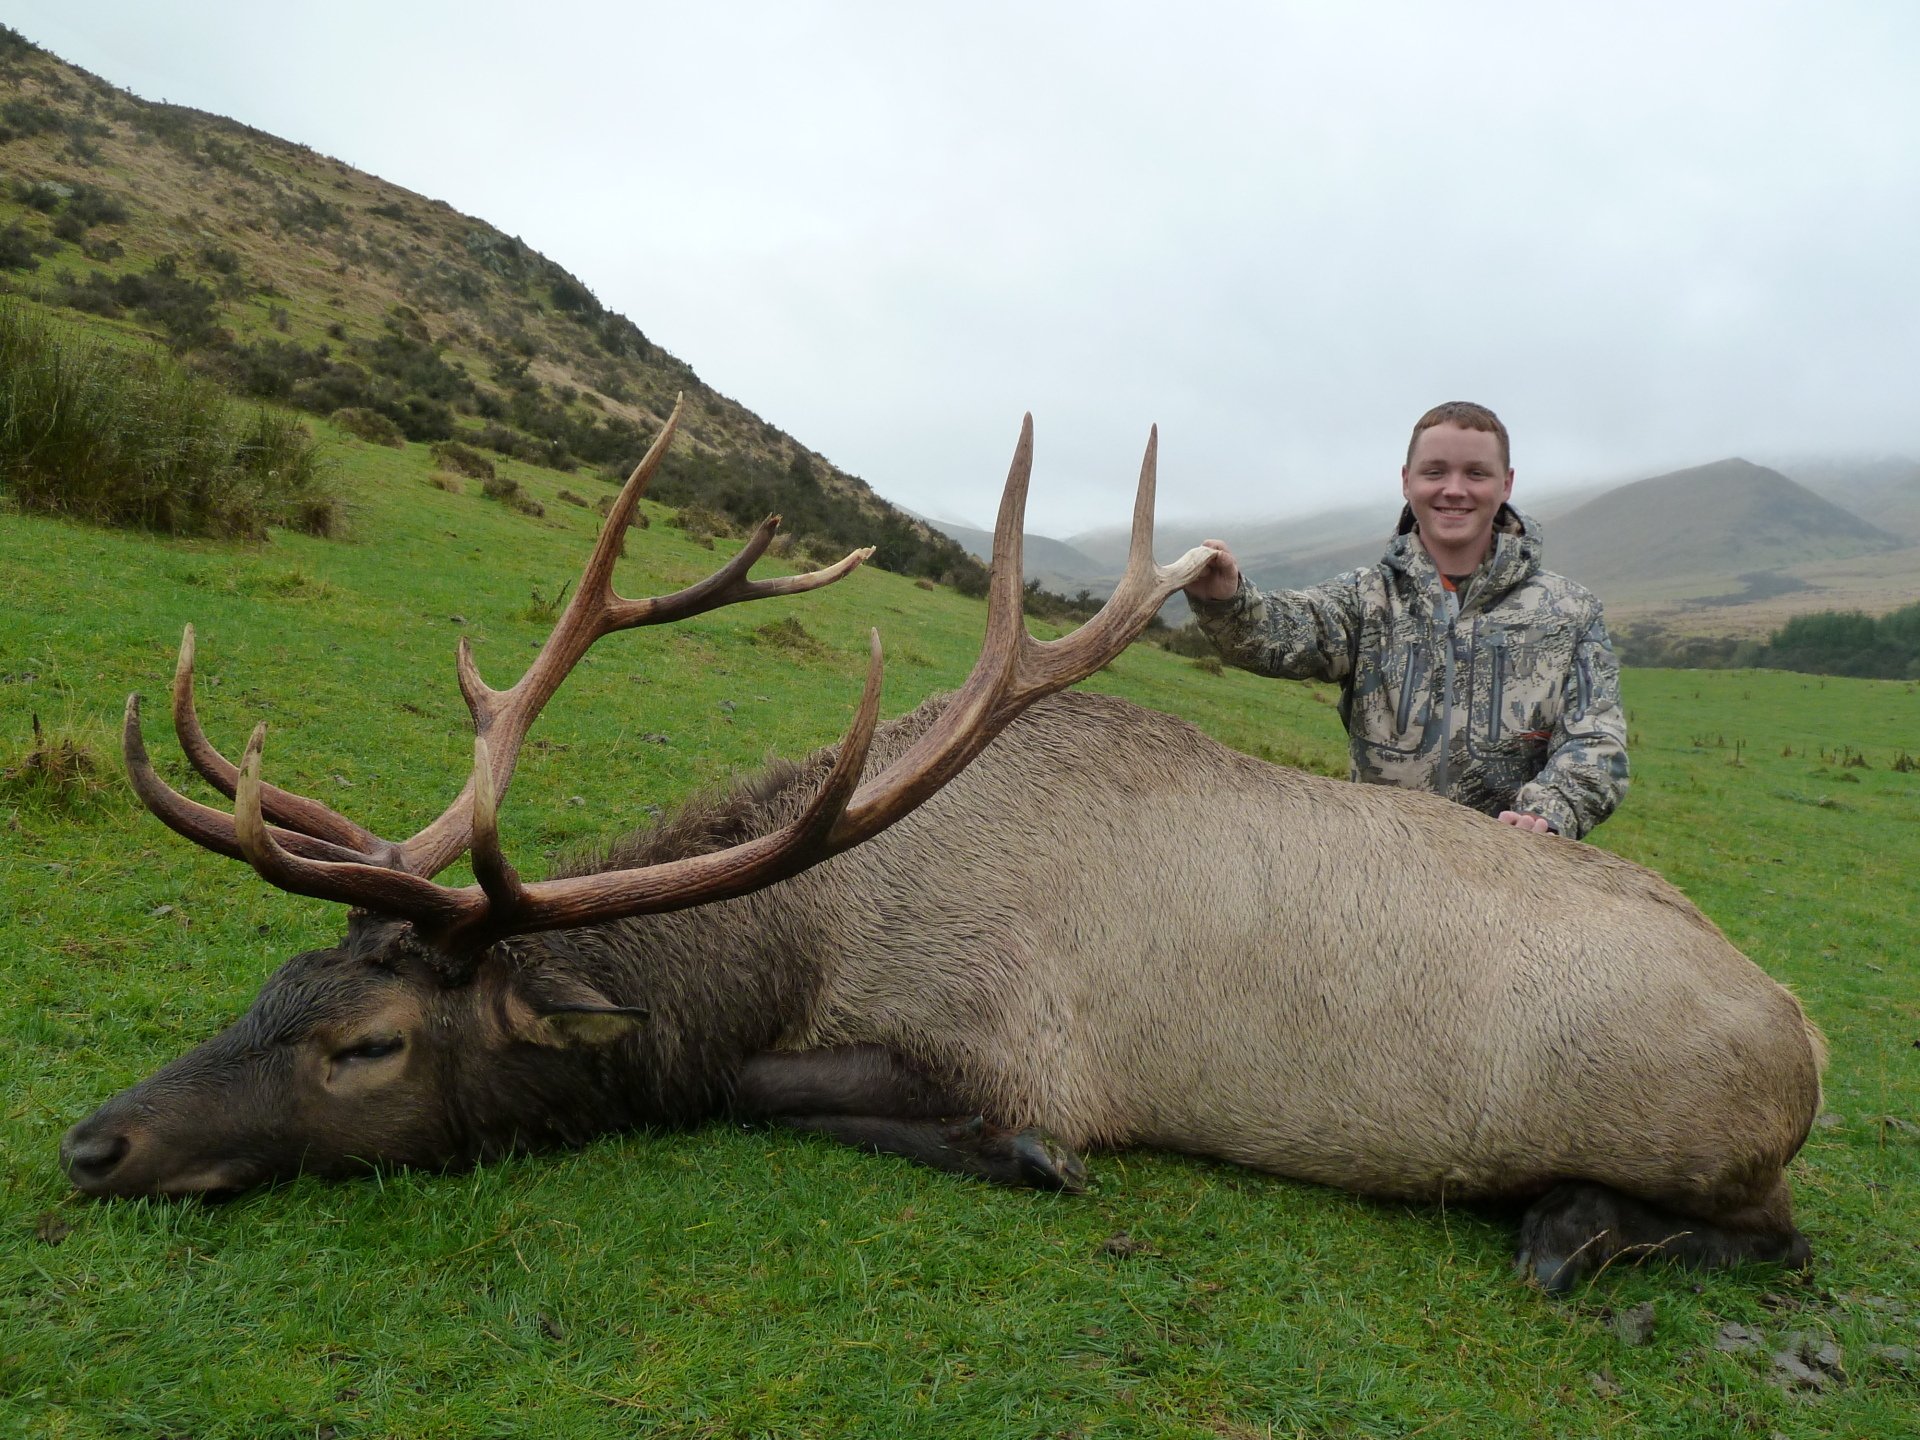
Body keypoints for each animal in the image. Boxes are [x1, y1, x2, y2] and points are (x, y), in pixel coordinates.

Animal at [62, 402, 1825, 1291]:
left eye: (366, 1043)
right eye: (275, 986)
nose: (94, 1144)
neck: (802, 930)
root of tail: (1811, 1043)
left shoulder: (1006, 1038)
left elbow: (754, 1088)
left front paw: (1022, 1161)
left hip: (1701, 1144)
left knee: (1779, 1236)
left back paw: (1567, 1229)